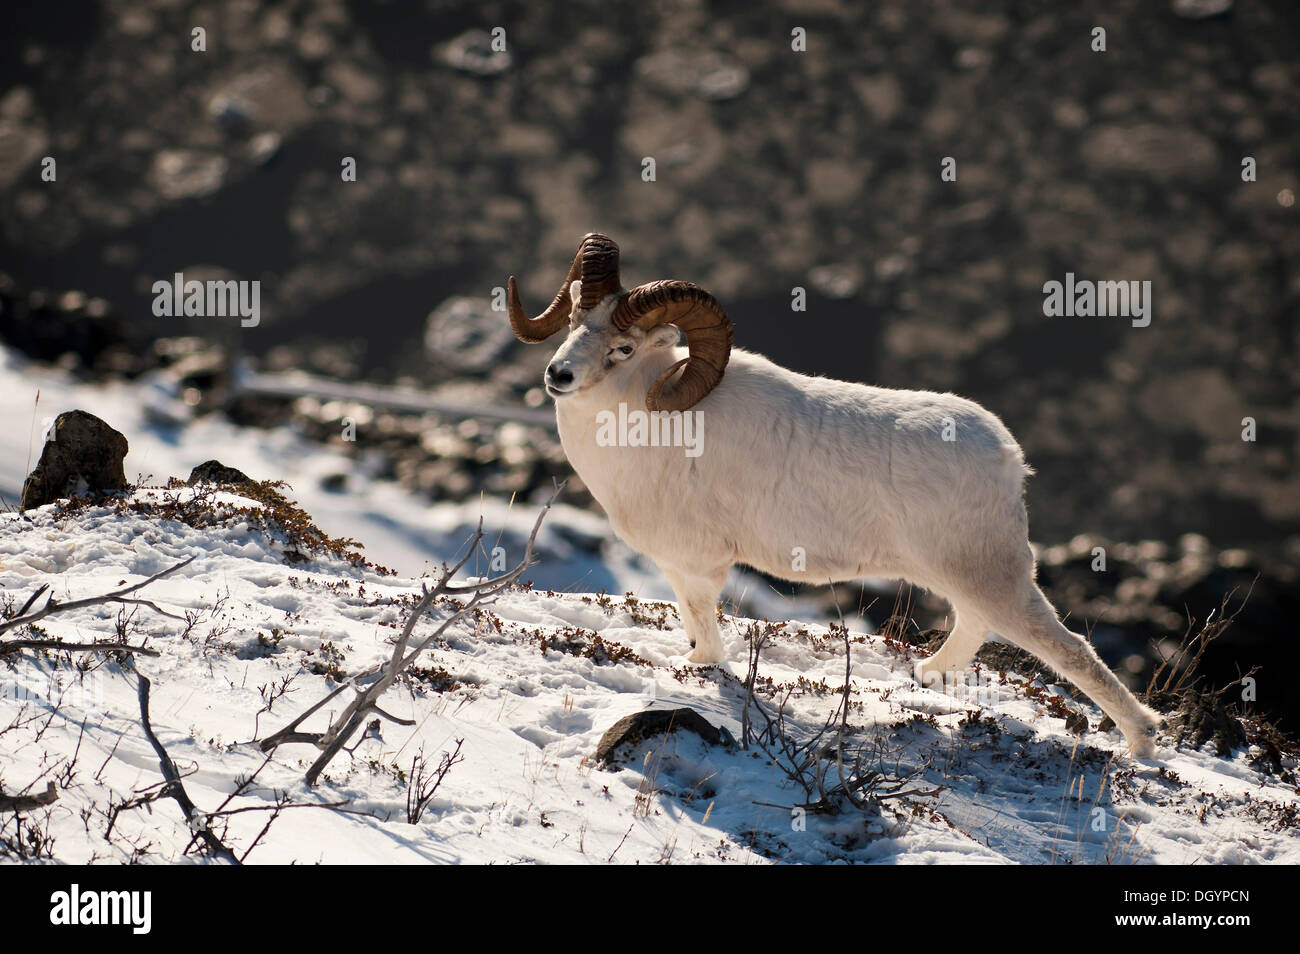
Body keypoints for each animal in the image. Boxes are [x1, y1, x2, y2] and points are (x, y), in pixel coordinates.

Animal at [506, 233, 1162, 757]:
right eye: (575, 325)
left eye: (622, 349)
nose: (558, 377)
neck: (644, 425)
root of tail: (1007, 459)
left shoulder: (698, 564)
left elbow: (706, 633)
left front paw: (698, 669)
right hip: (960, 577)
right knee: (974, 626)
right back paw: (926, 677)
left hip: (992, 576)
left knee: (1066, 648)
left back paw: (1141, 746)